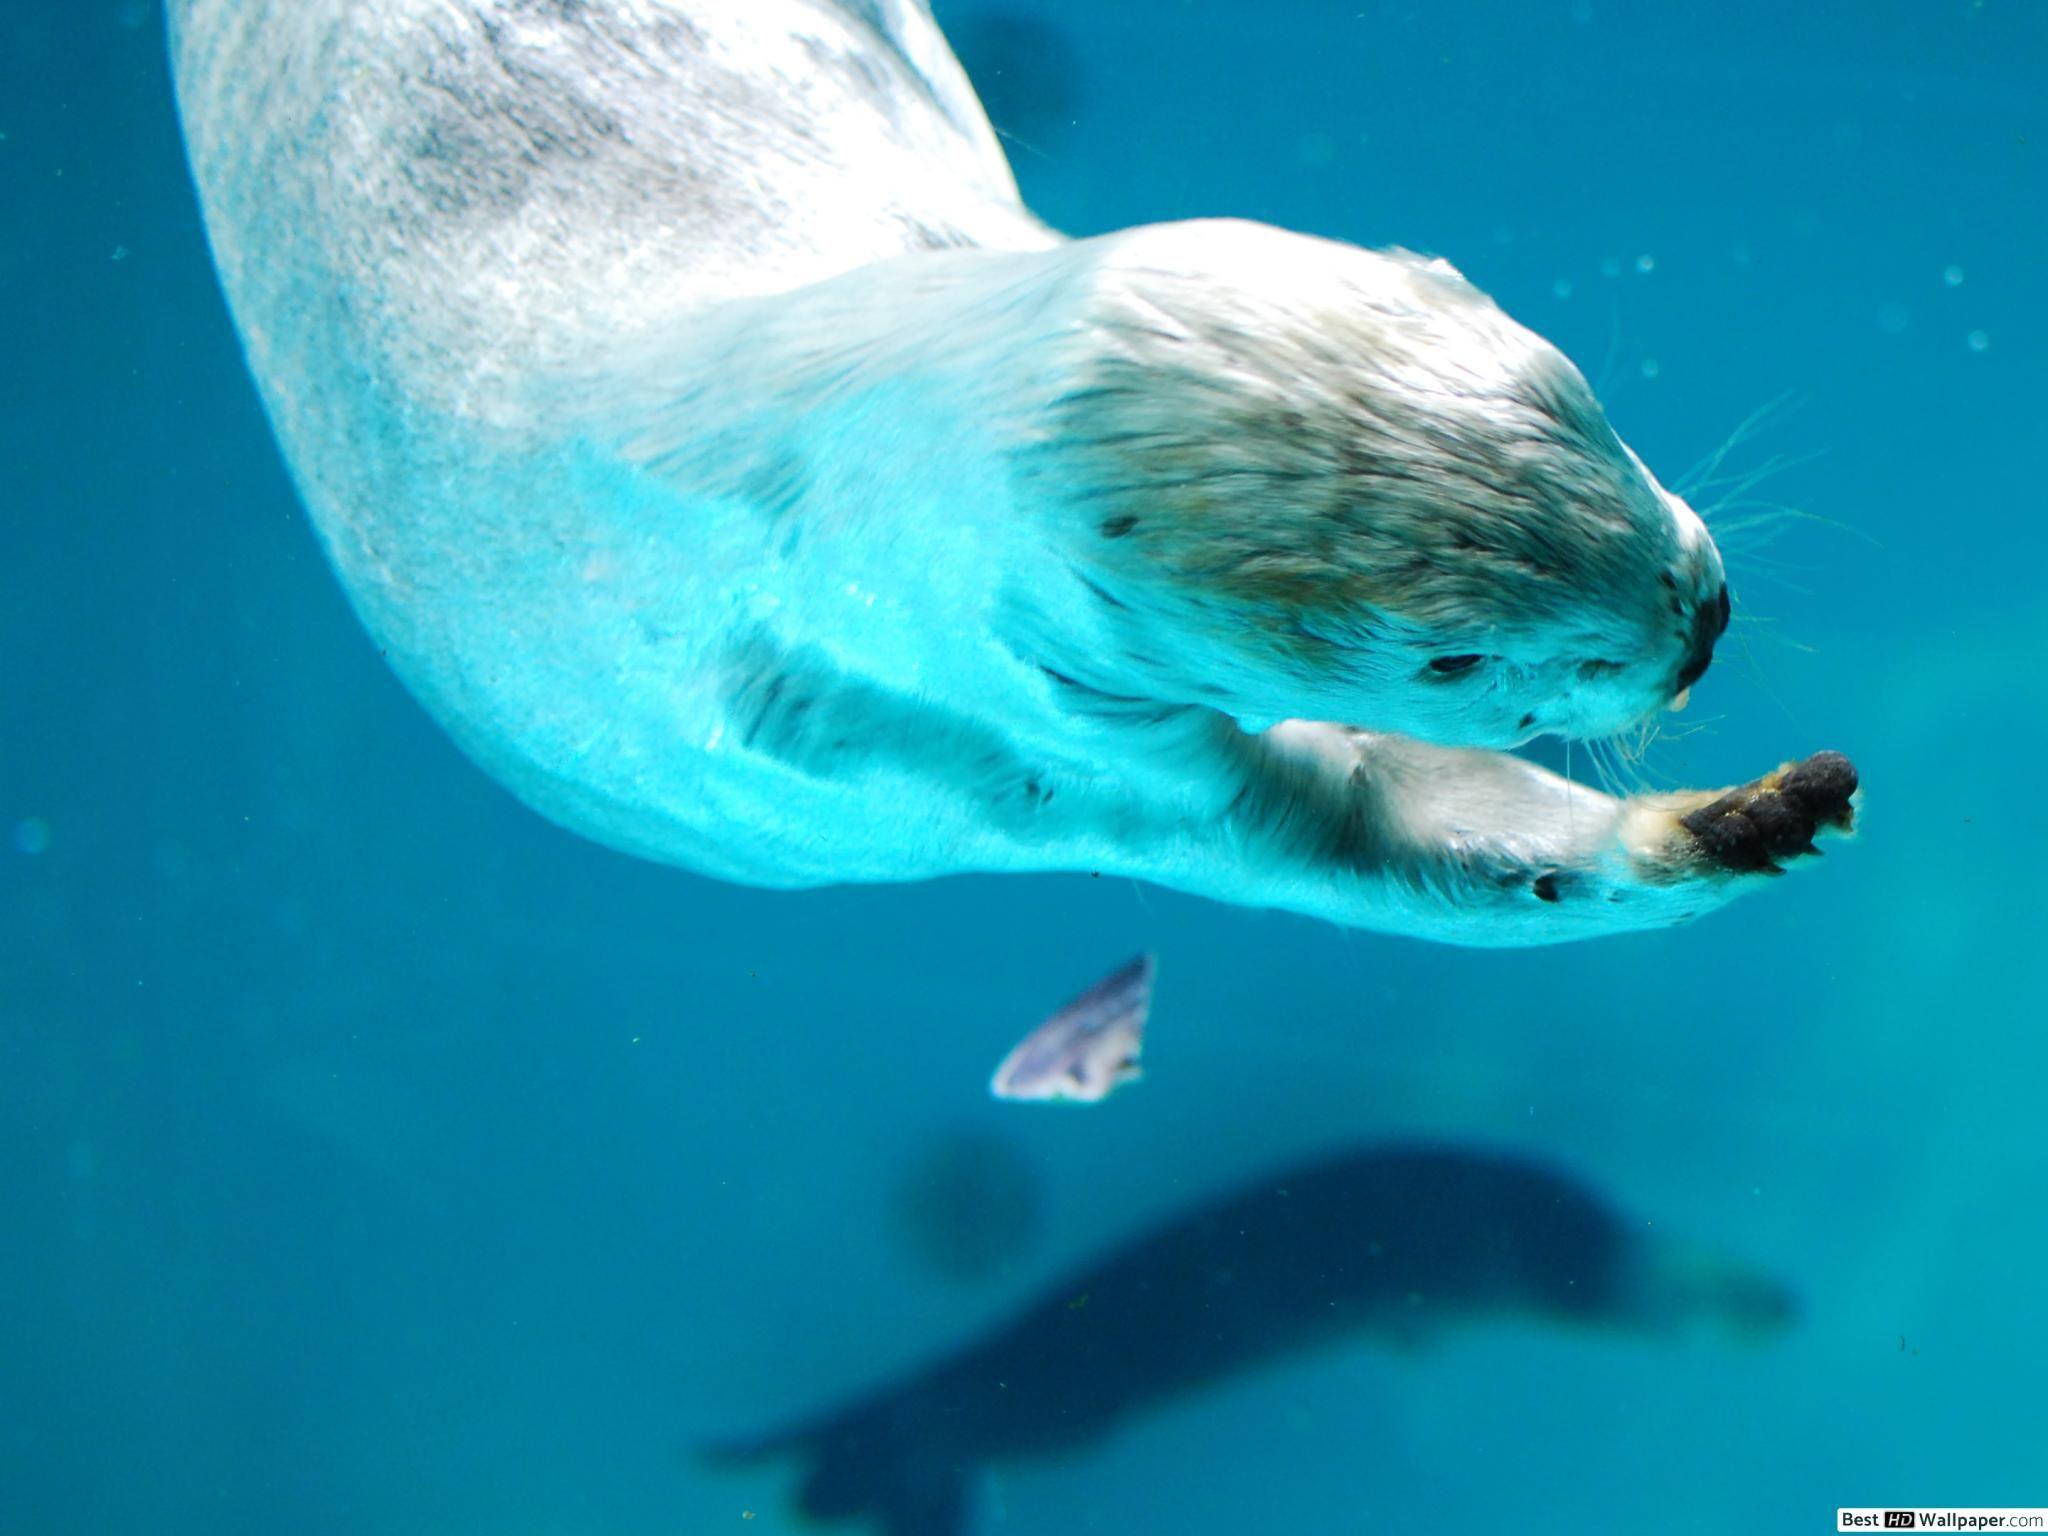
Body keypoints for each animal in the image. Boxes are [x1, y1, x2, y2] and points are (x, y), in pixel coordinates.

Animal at [168, 0, 1856, 944]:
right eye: (1451, 659)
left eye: (1573, 390)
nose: (1700, 619)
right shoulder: (976, 728)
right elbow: (1357, 844)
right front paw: (1732, 822)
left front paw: (1756, 811)